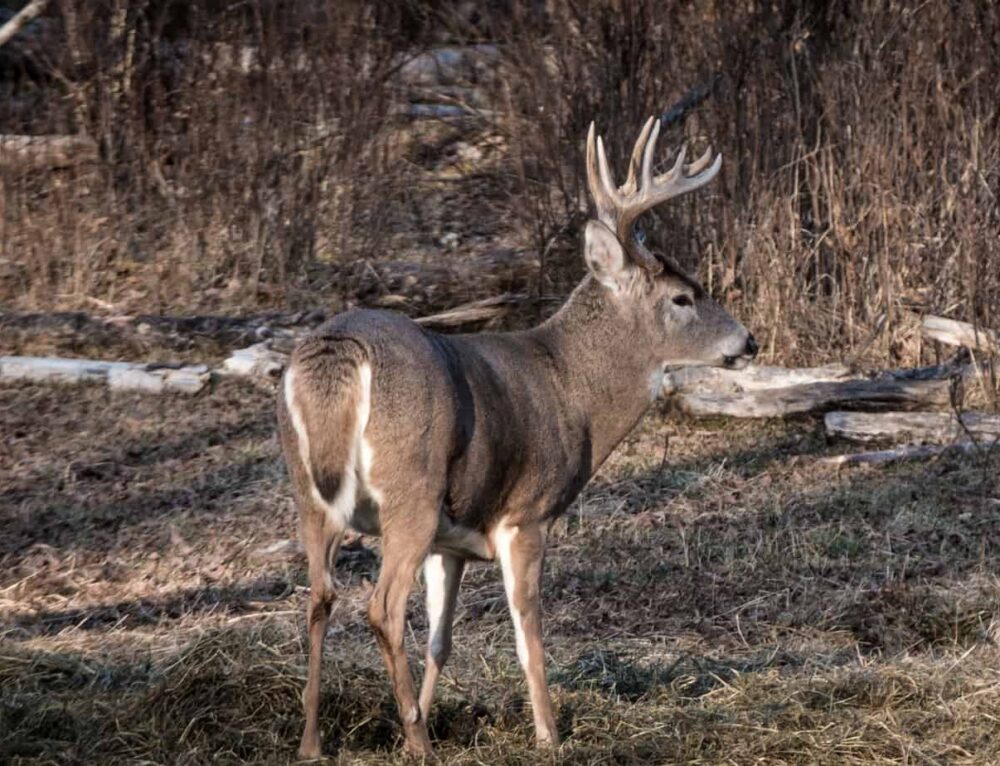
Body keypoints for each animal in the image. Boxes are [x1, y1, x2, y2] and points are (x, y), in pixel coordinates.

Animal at [277, 115, 758, 758]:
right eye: (683, 297)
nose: (748, 341)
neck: (572, 389)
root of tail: (338, 353)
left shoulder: (452, 542)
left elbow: (441, 639)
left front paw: (427, 714)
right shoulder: (526, 513)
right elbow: (528, 628)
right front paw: (548, 735)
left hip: (308, 493)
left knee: (319, 597)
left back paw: (314, 742)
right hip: (411, 489)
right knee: (381, 607)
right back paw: (420, 749)